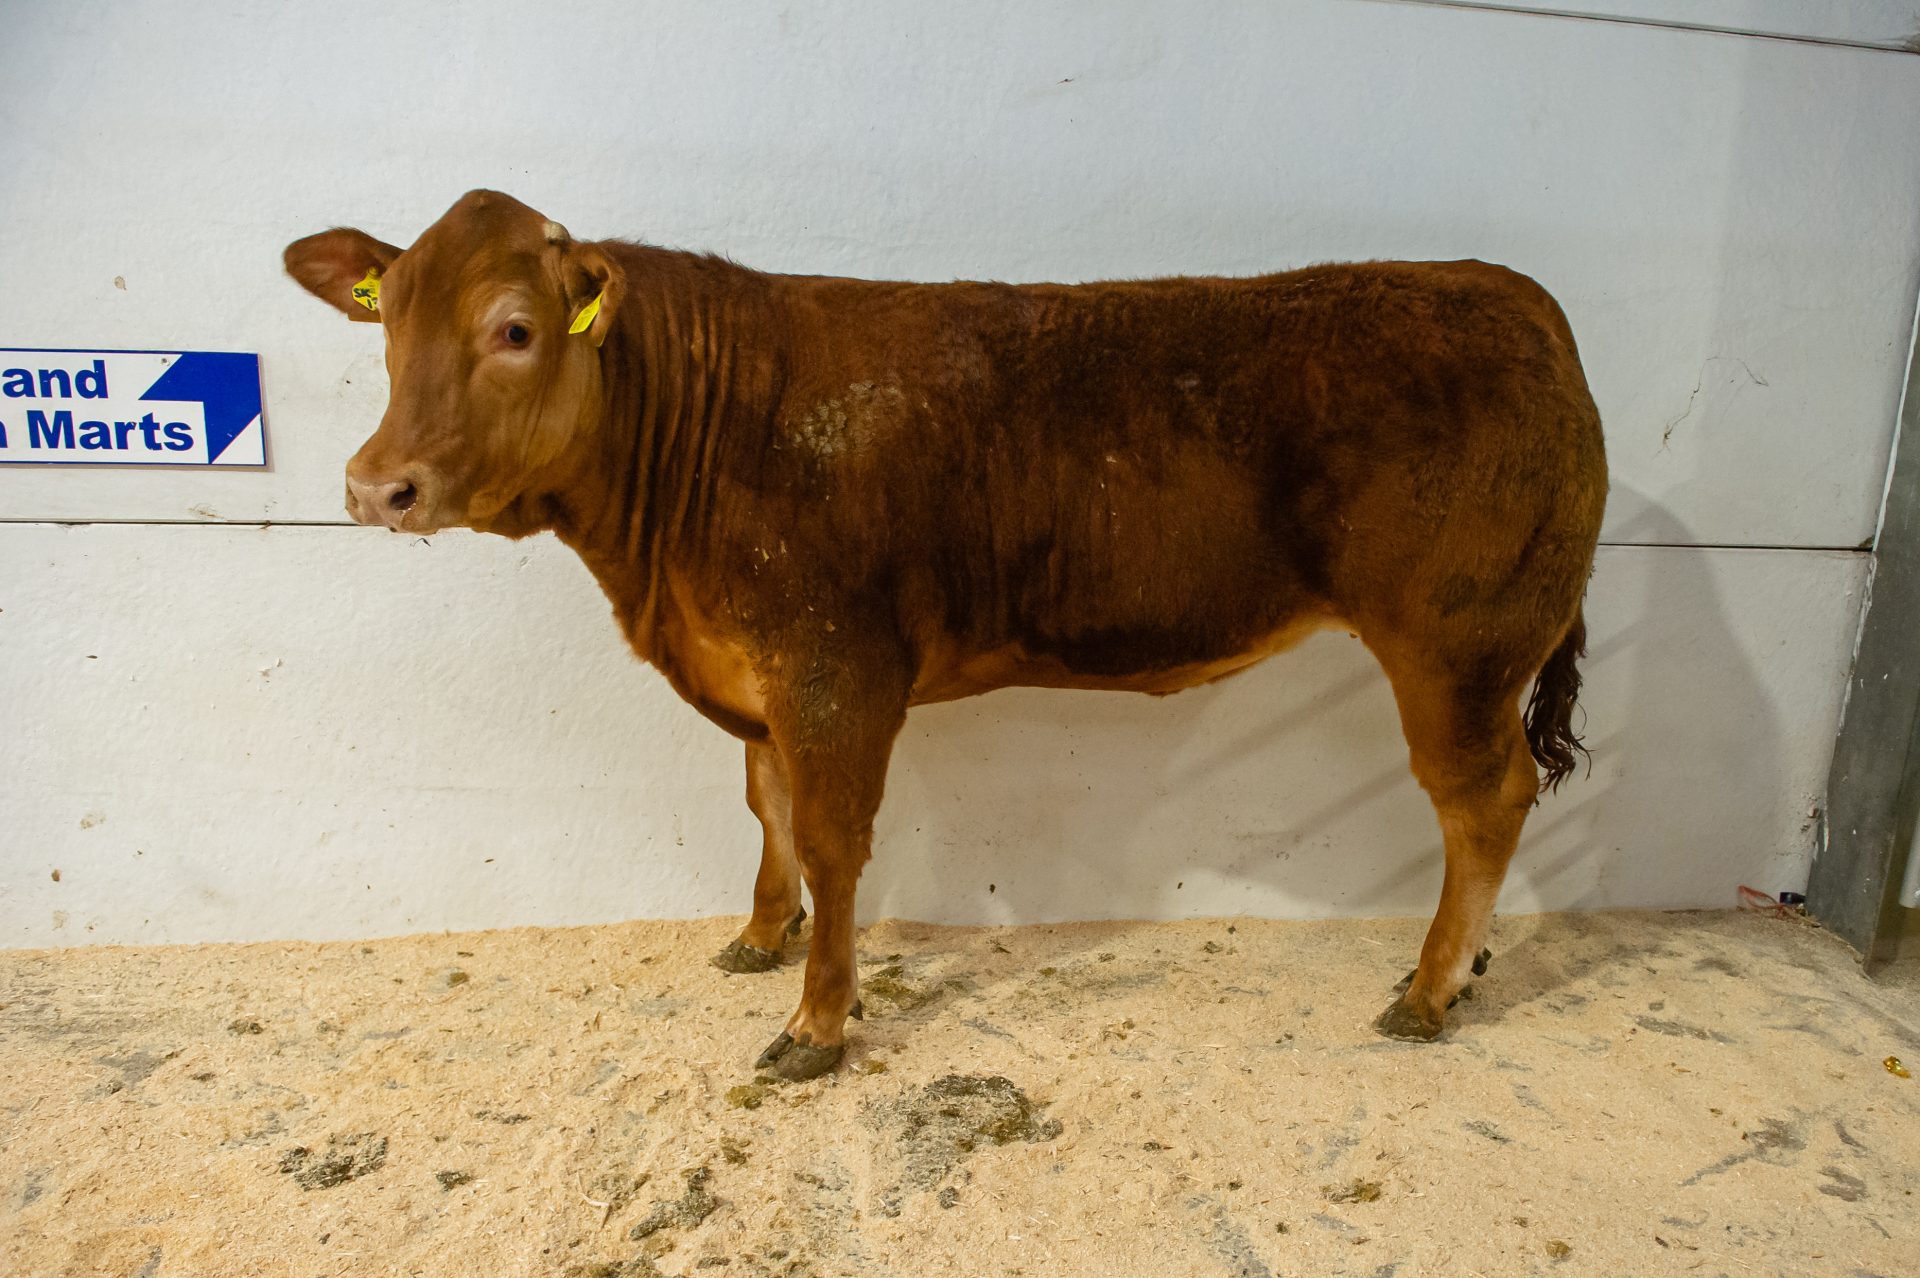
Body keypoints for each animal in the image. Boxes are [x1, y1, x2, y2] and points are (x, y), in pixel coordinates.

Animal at [286, 190, 1607, 1081]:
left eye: (514, 329)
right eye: (386, 326)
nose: (377, 486)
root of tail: (1516, 296)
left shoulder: (834, 669)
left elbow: (832, 840)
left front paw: (816, 1024)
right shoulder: (759, 676)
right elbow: (766, 808)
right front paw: (758, 939)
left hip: (1459, 646)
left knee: (1483, 800)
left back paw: (1429, 991)